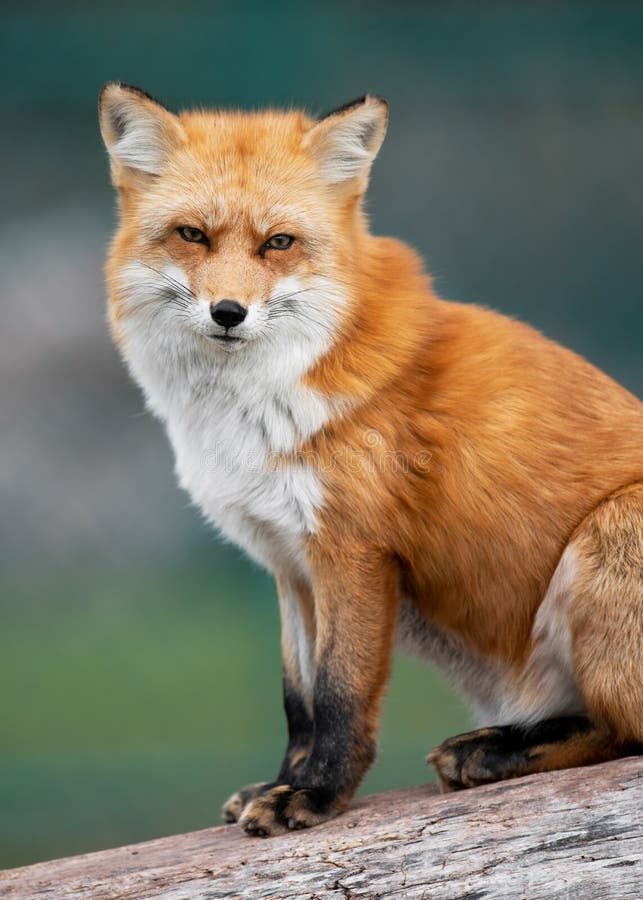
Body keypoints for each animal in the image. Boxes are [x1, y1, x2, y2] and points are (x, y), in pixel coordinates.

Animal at [99, 82, 643, 837]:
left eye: (278, 243)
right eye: (191, 235)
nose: (228, 312)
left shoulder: (353, 551)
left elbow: (340, 692)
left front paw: (315, 795)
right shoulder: (289, 562)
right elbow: (297, 699)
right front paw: (282, 781)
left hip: (609, 534)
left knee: (625, 732)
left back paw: (498, 750)